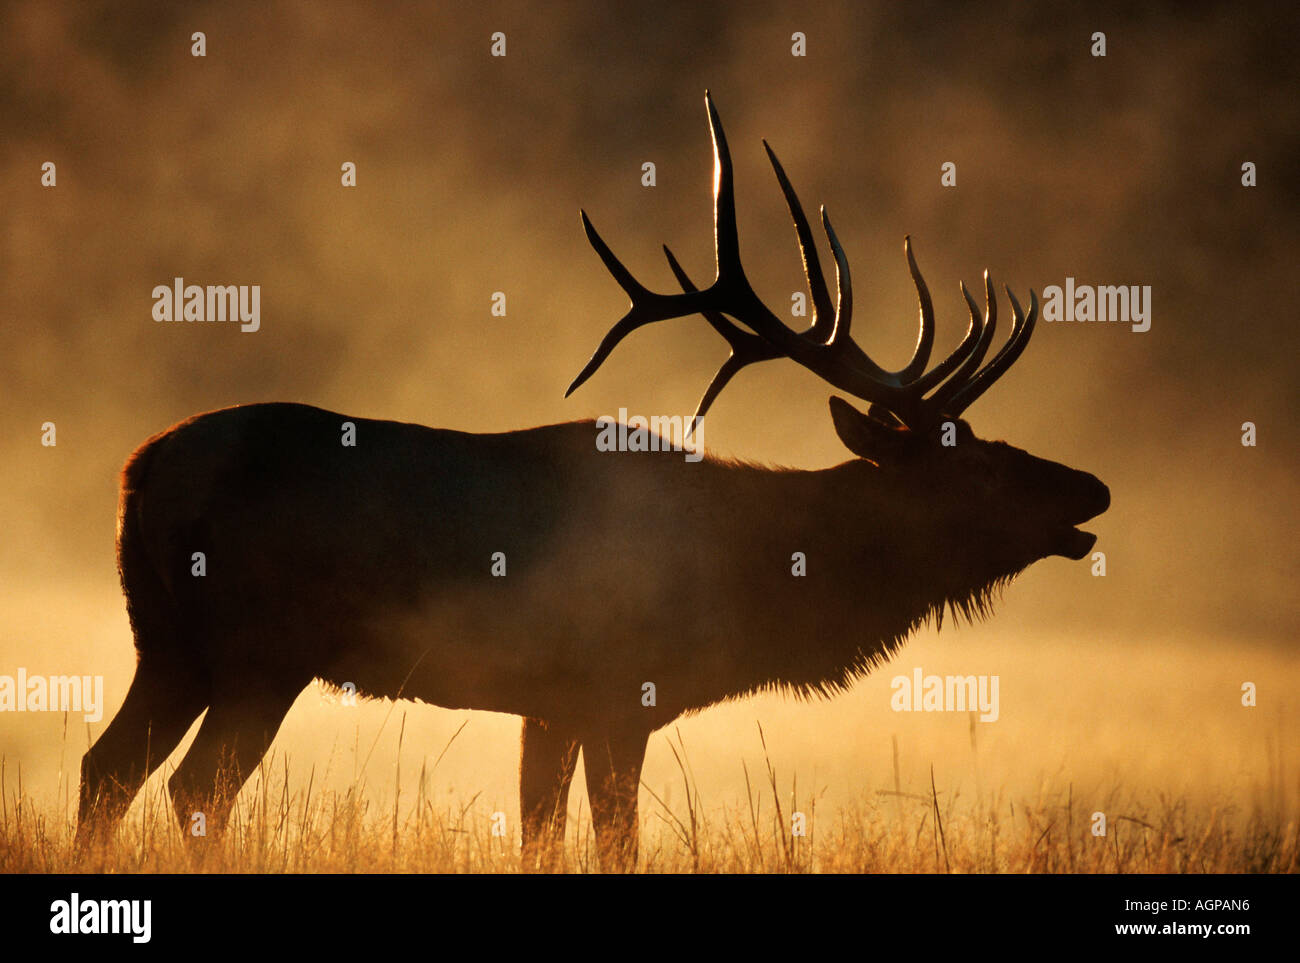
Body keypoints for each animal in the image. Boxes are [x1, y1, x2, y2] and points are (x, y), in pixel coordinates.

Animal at [77, 91, 1108, 870]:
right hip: (262, 649)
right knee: (192, 788)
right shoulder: (621, 690)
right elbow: (617, 842)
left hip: (167, 642)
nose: (1092, 489)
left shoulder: (549, 702)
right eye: (972, 464)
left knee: (105, 768)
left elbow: (540, 832)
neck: (750, 578)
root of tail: (138, 470)